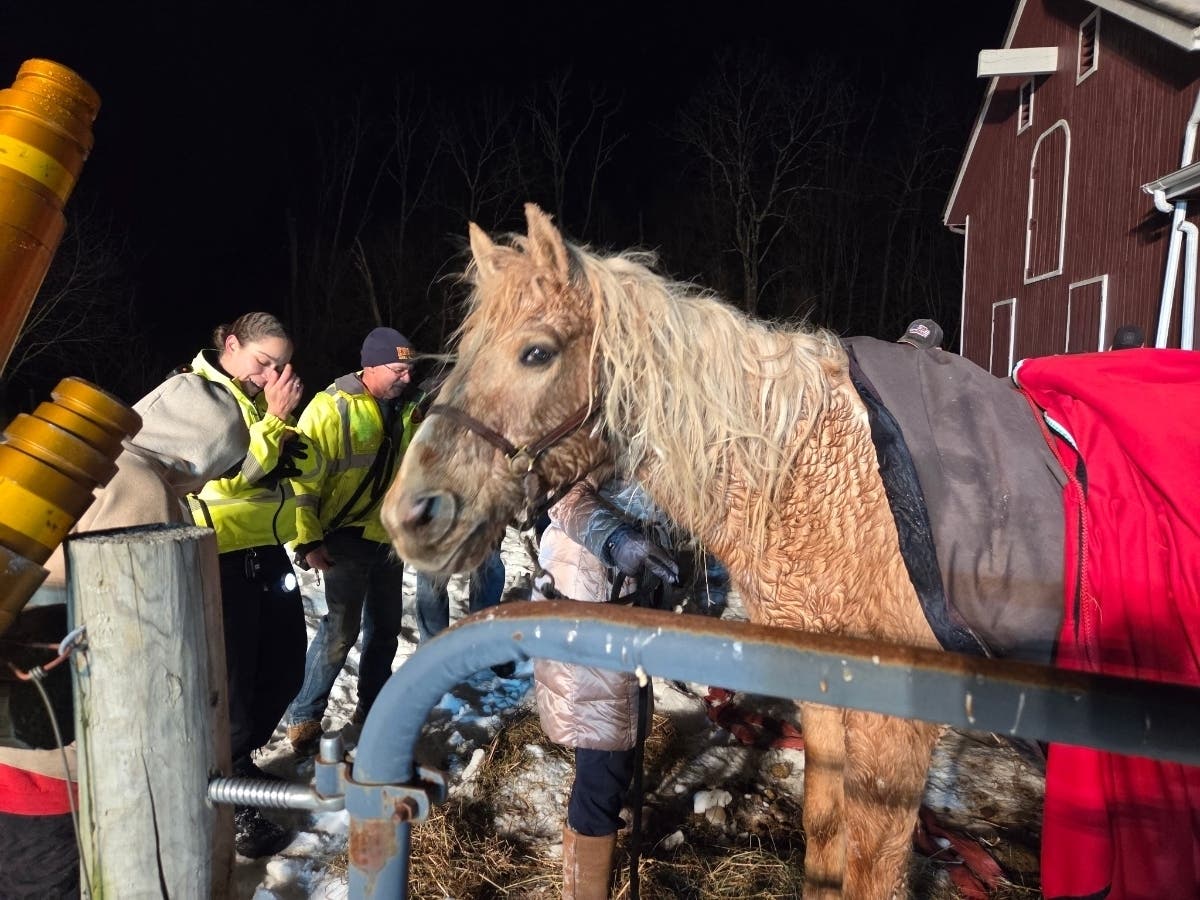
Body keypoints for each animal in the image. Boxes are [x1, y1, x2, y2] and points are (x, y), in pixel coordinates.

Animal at [382, 204, 1199, 898]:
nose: (411, 512)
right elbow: (827, 837)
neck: (816, 480)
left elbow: (872, 867)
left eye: (537, 352)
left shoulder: (898, 728)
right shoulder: (829, 699)